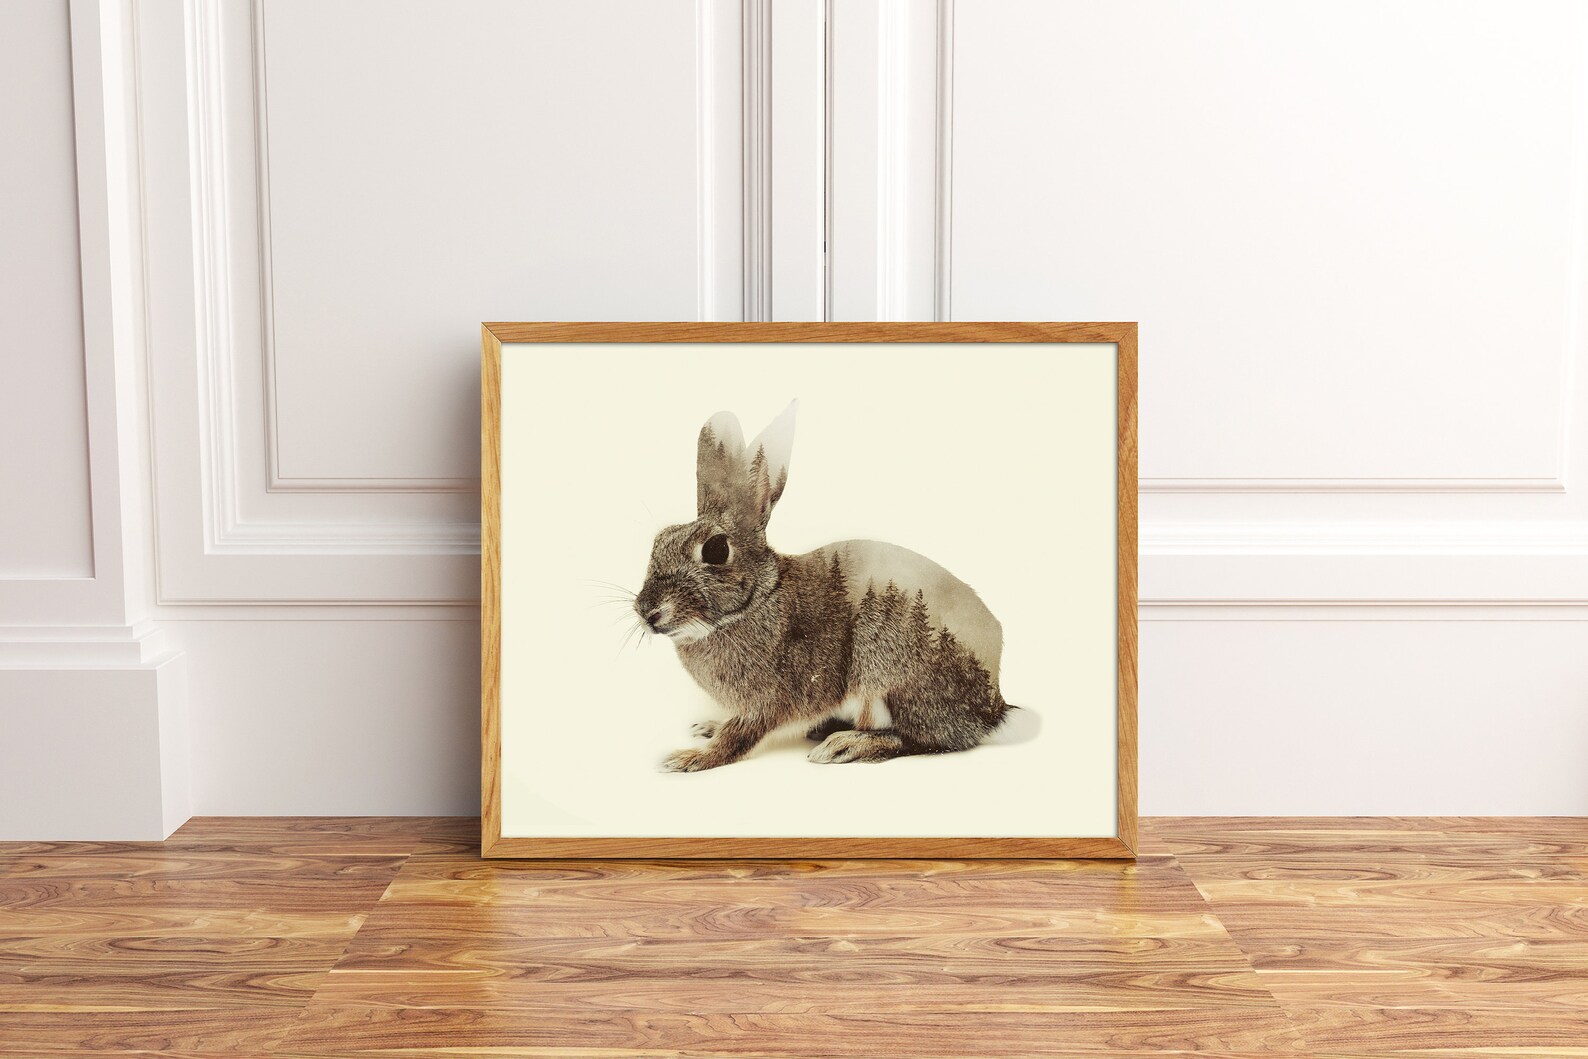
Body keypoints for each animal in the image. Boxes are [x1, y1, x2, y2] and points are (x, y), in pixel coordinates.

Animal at [634, 401, 1014, 772]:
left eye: (715, 550)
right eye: (659, 540)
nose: (646, 611)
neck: (758, 599)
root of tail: (992, 706)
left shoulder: (770, 698)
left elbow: (739, 737)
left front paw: (691, 758)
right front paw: (707, 728)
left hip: (889, 670)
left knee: (922, 740)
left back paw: (845, 744)